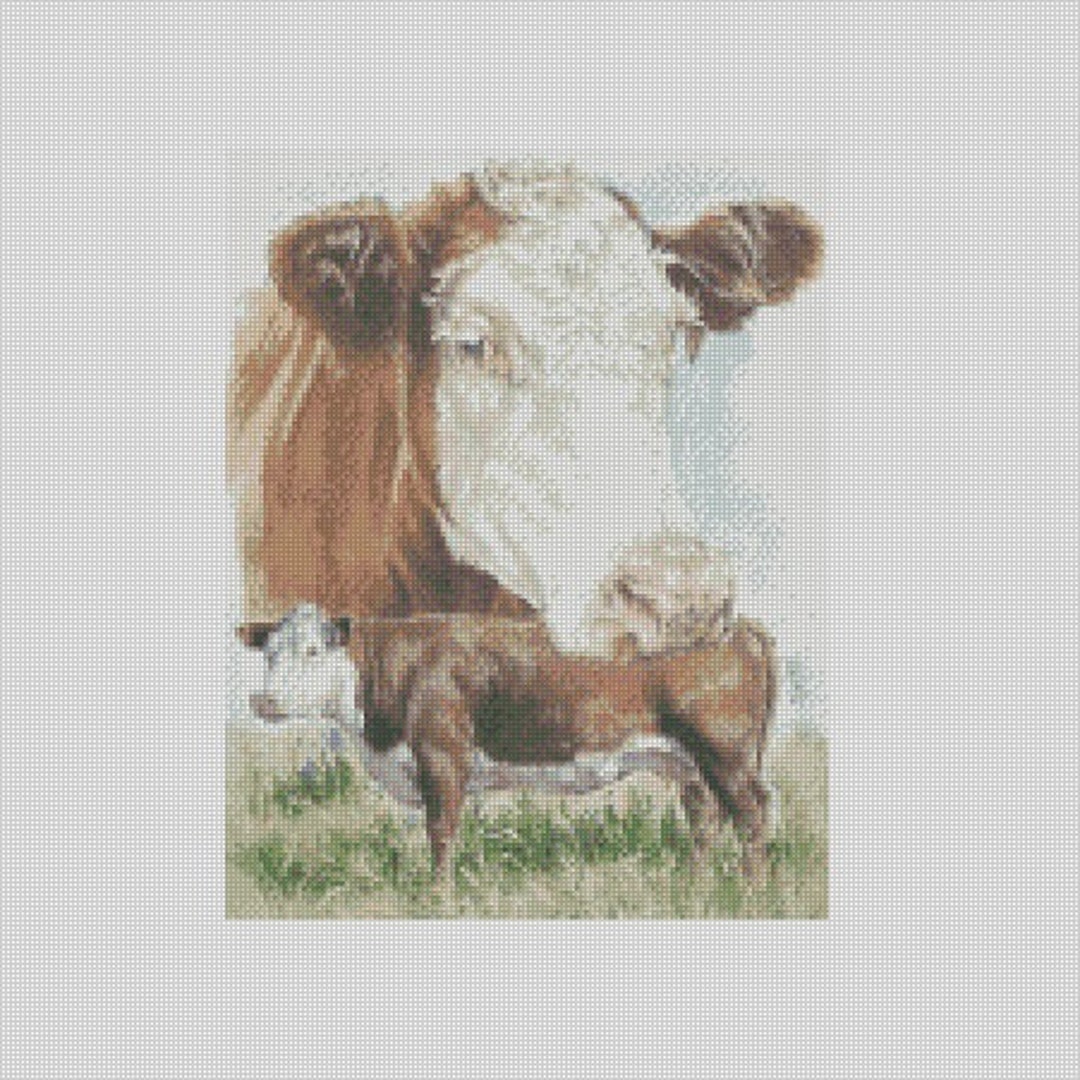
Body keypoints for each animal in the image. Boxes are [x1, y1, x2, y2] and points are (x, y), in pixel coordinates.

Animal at [239, 603, 777, 882]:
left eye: (313, 651)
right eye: (268, 653)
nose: (264, 700)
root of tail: (734, 624)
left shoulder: (442, 756)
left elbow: (441, 832)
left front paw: (439, 894)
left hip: (725, 755)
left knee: (751, 813)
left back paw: (748, 890)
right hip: (690, 762)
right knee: (706, 817)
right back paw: (695, 886)